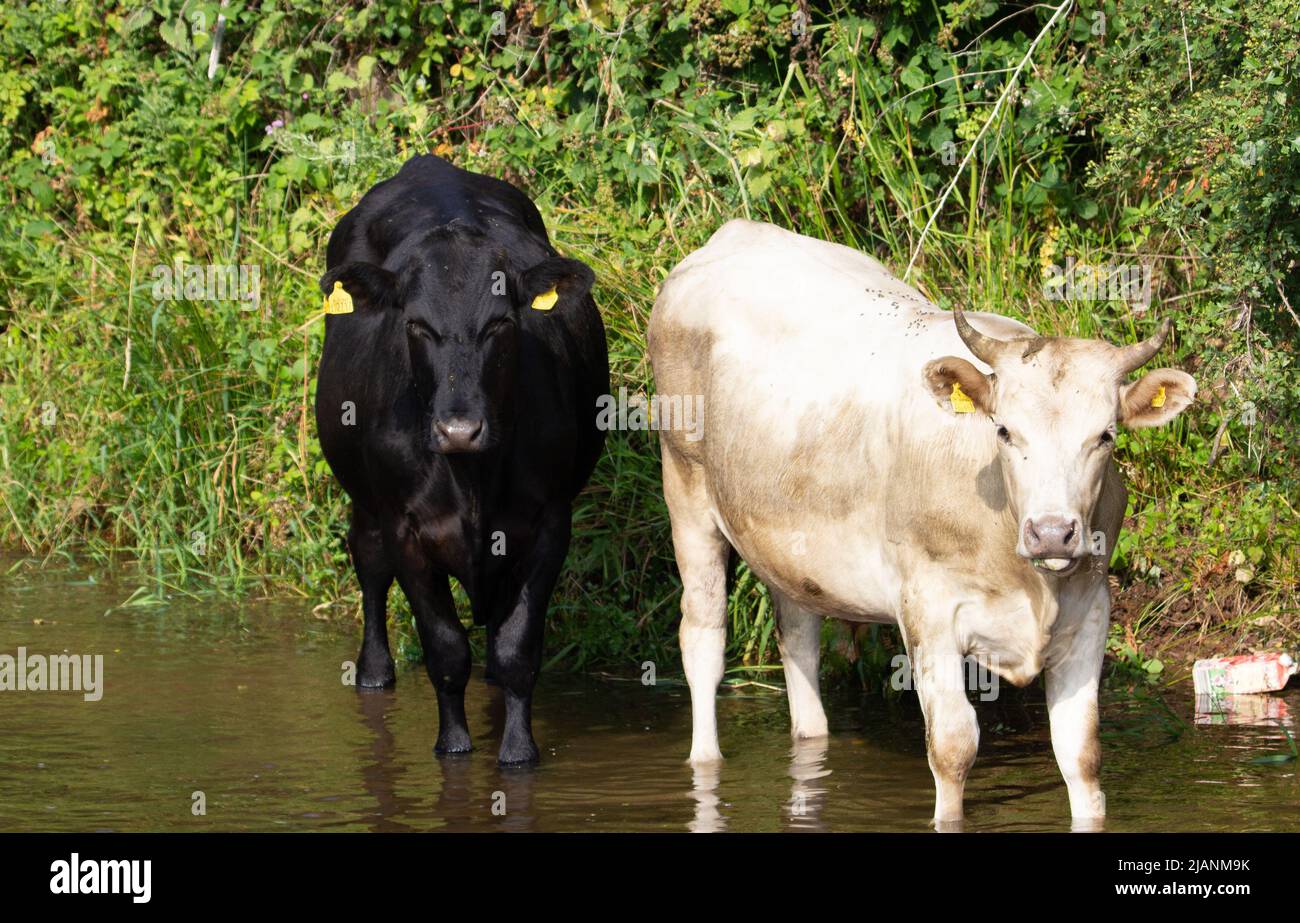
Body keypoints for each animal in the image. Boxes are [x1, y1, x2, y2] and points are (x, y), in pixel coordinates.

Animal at [315, 154, 609, 765]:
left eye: (500, 323)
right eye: (416, 324)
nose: (458, 429)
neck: (471, 478)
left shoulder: (549, 524)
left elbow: (517, 648)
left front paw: (518, 752)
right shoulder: (405, 528)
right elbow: (446, 650)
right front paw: (452, 746)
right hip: (365, 499)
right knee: (367, 562)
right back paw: (373, 671)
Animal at [647, 219, 1195, 827]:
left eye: (1105, 435)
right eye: (1004, 430)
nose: (1052, 532)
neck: (1031, 580)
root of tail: (736, 232)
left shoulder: (1091, 609)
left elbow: (1083, 754)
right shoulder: (927, 607)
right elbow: (954, 746)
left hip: (790, 543)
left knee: (799, 643)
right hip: (685, 487)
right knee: (703, 642)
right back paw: (705, 759)